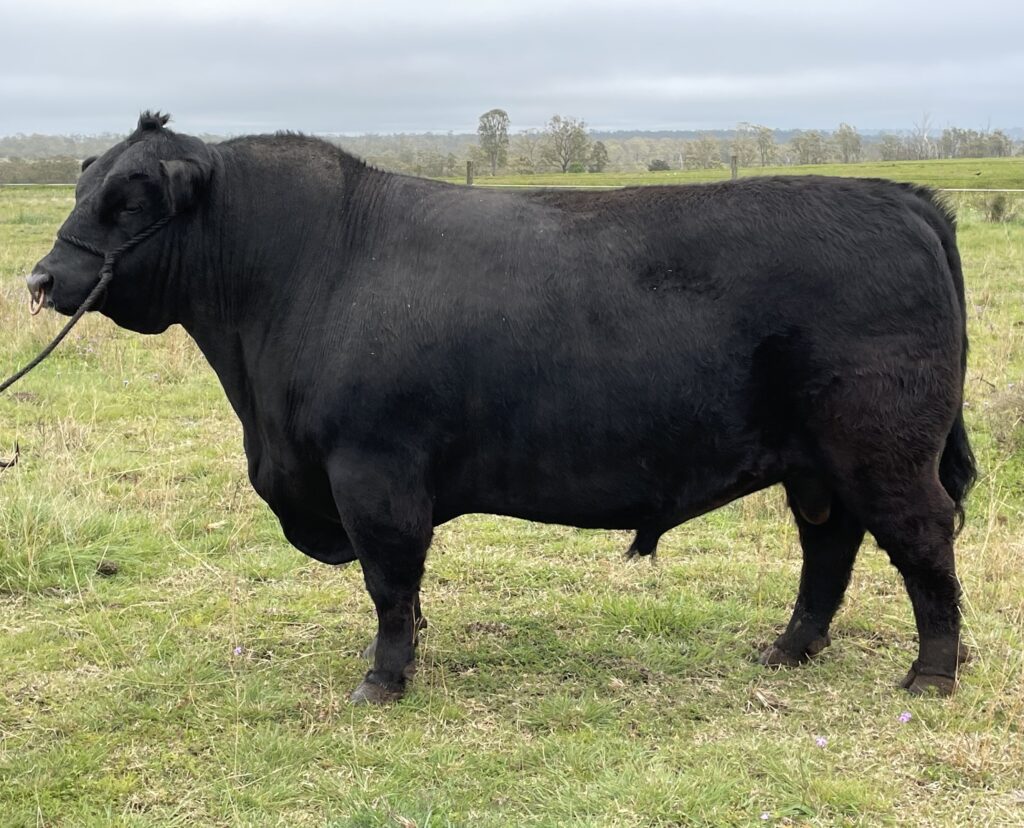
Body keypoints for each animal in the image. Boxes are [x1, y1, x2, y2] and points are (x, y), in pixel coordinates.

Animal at [26, 112, 975, 703]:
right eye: (82, 189)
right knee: (831, 544)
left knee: (921, 536)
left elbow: (388, 579)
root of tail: (901, 197)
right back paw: (789, 648)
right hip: (819, 462)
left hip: (884, 449)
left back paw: (932, 673)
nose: (42, 278)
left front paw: (384, 679)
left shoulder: (372, 472)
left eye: (127, 201)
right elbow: (404, 588)